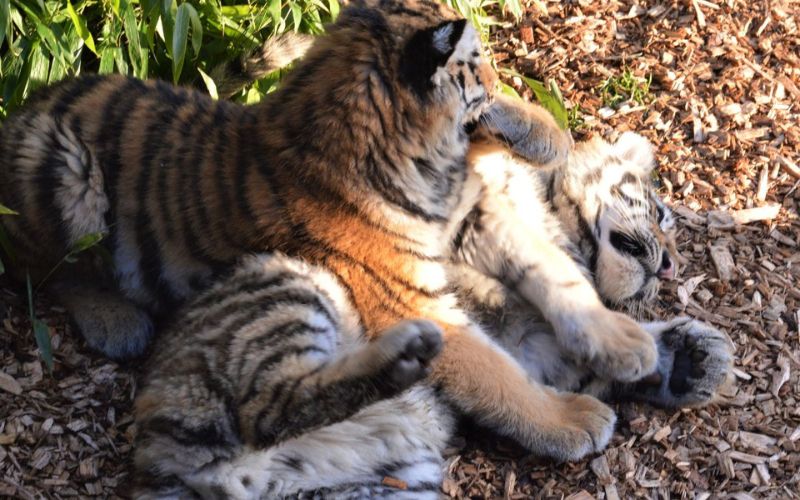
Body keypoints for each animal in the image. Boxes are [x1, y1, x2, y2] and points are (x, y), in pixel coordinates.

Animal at [1, 0, 695, 473]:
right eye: (483, 70)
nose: (502, 91)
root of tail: (30, 103)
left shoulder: (478, 219)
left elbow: (556, 275)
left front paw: (623, 342)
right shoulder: (411, 300)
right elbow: (497, 375)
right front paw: (572, 421)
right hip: (61, 171)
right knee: (38, 267)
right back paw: (114, 319)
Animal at [132, 133, 734, 499]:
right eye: (661, 213)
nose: (670, 268)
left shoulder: (530, 332)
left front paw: (692, 358)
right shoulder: (479, 221)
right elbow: (513, 339)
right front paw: (582, 408)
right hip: (293, 285)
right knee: (268, 405)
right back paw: (405, 352)